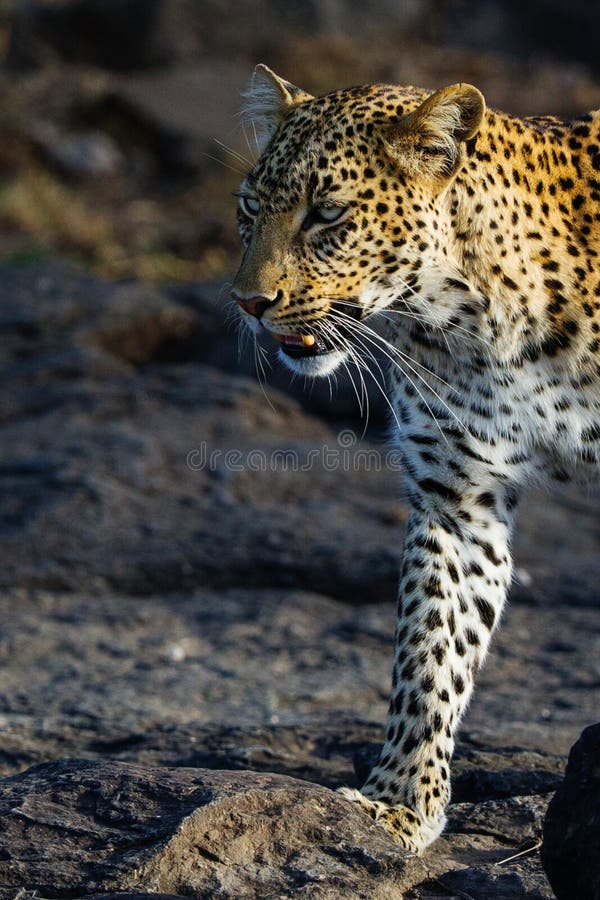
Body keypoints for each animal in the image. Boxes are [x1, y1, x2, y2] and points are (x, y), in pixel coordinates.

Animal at [230, 64, 600, 854]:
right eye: (248, 208)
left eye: (327, 214)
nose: (248, 302)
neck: (479, 323)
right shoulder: (456, 497)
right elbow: (429, 647)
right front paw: (399, 802)